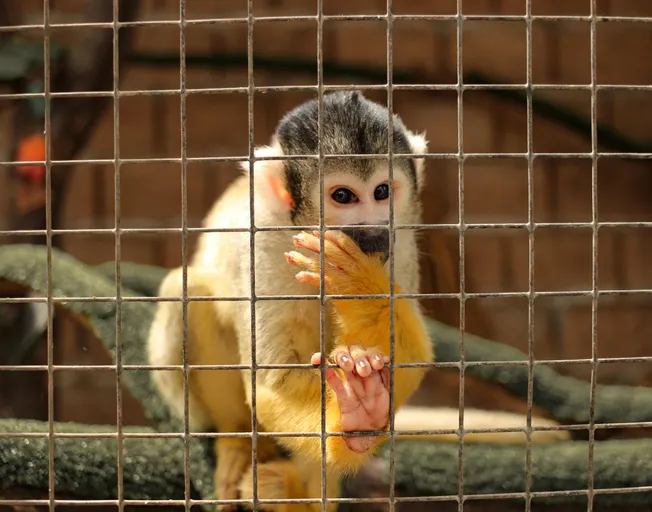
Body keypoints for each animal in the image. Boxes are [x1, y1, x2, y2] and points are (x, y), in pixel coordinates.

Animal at [147, 91, 570, 512]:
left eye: (382, 192)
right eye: (343, 196)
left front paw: (363, 413)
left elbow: (405, 357)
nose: (371, 232)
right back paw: (237, 441)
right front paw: (352, 417)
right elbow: (273, 378)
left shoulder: (399, 240)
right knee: (189, 292)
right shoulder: (262, 237)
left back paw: (304, 495)